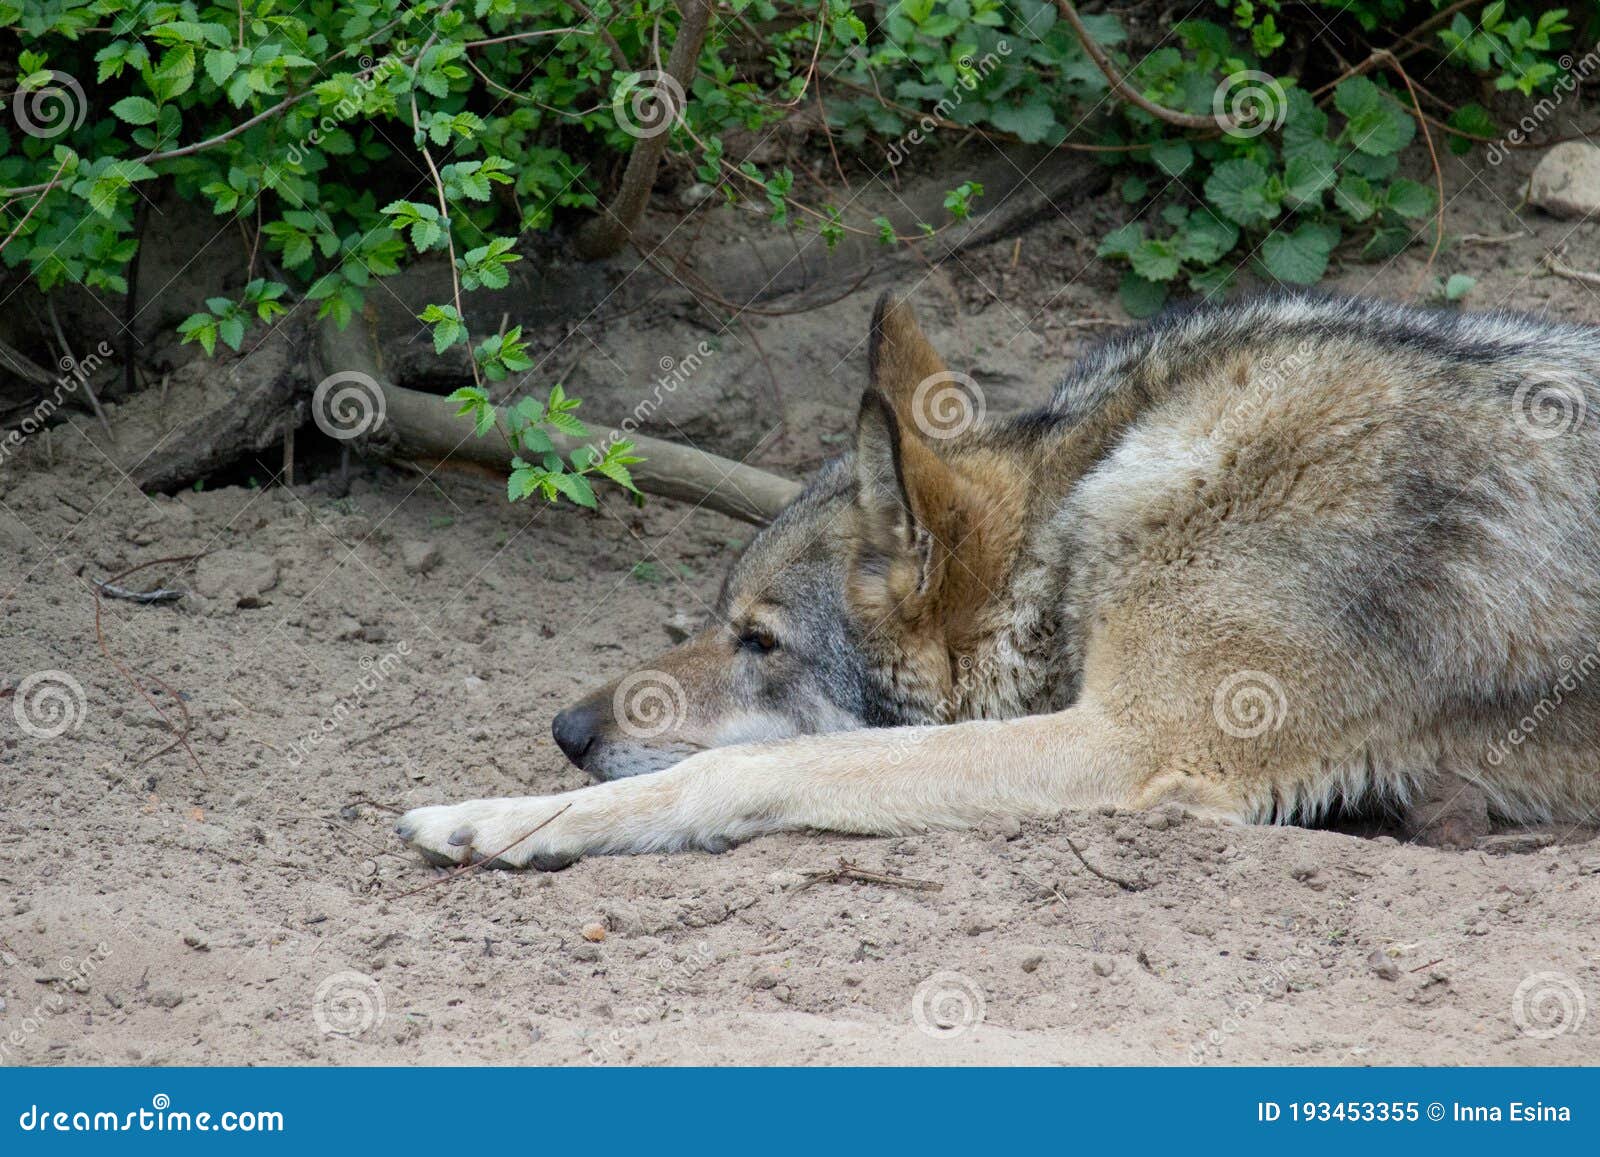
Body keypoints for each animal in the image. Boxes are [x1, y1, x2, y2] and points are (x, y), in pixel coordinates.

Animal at [397, 290, 1600, 869]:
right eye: (717, 622)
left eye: (760, 640)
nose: (565, 729)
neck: (1092, 518)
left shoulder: (1130, 742)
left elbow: (743, 770)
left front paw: (499, 819)